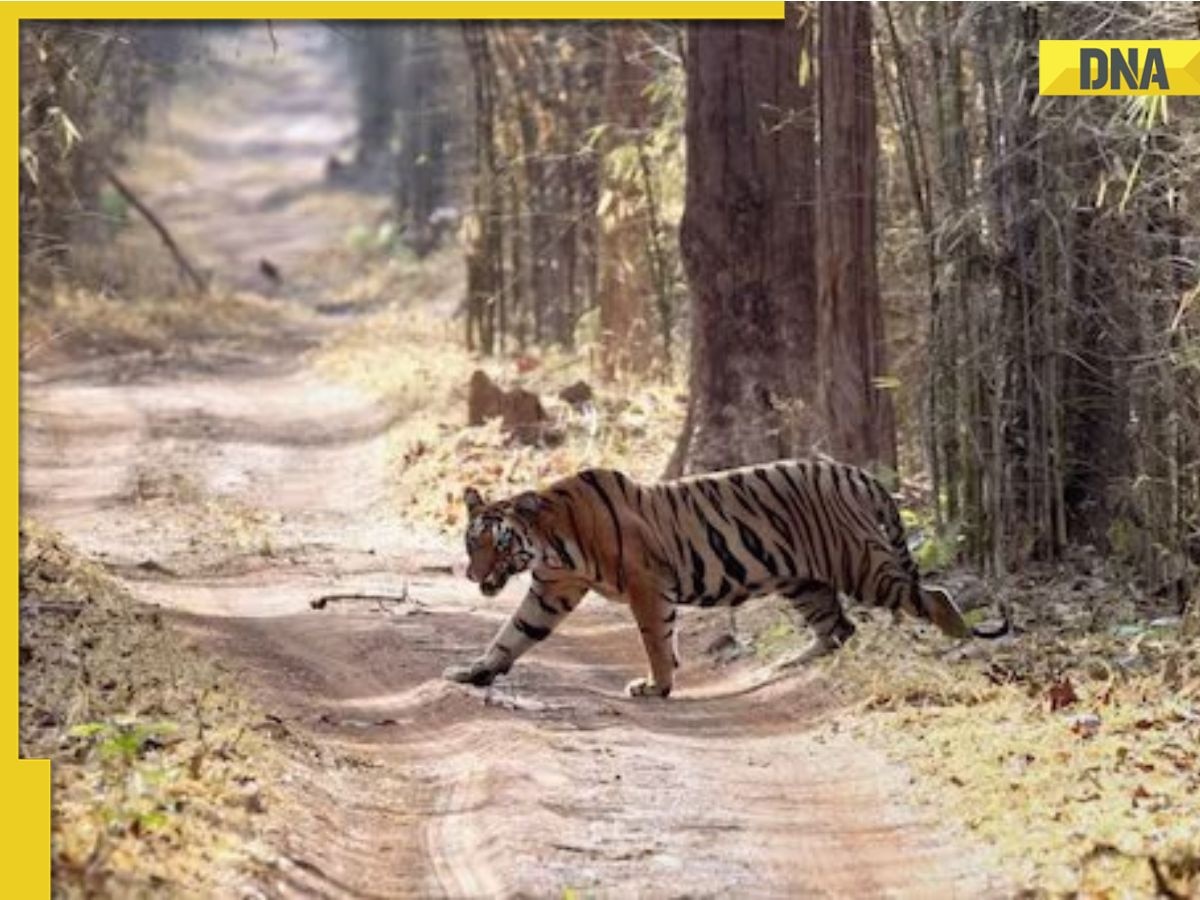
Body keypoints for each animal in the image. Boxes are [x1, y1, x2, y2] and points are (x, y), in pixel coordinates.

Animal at [443, 458, 1009, 698]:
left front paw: (656, 685)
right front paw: (475, 672)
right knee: (839, 629)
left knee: (932, 595)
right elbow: (513, 634)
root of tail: (861, 474)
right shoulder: (551, 590)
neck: (552, 541)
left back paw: (962, 642)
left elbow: (655, 639)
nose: (473, 575)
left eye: (498, 543)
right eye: (472, 542)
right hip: (803, 581)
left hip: (863, 567)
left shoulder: (646, 585)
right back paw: (787, 663)